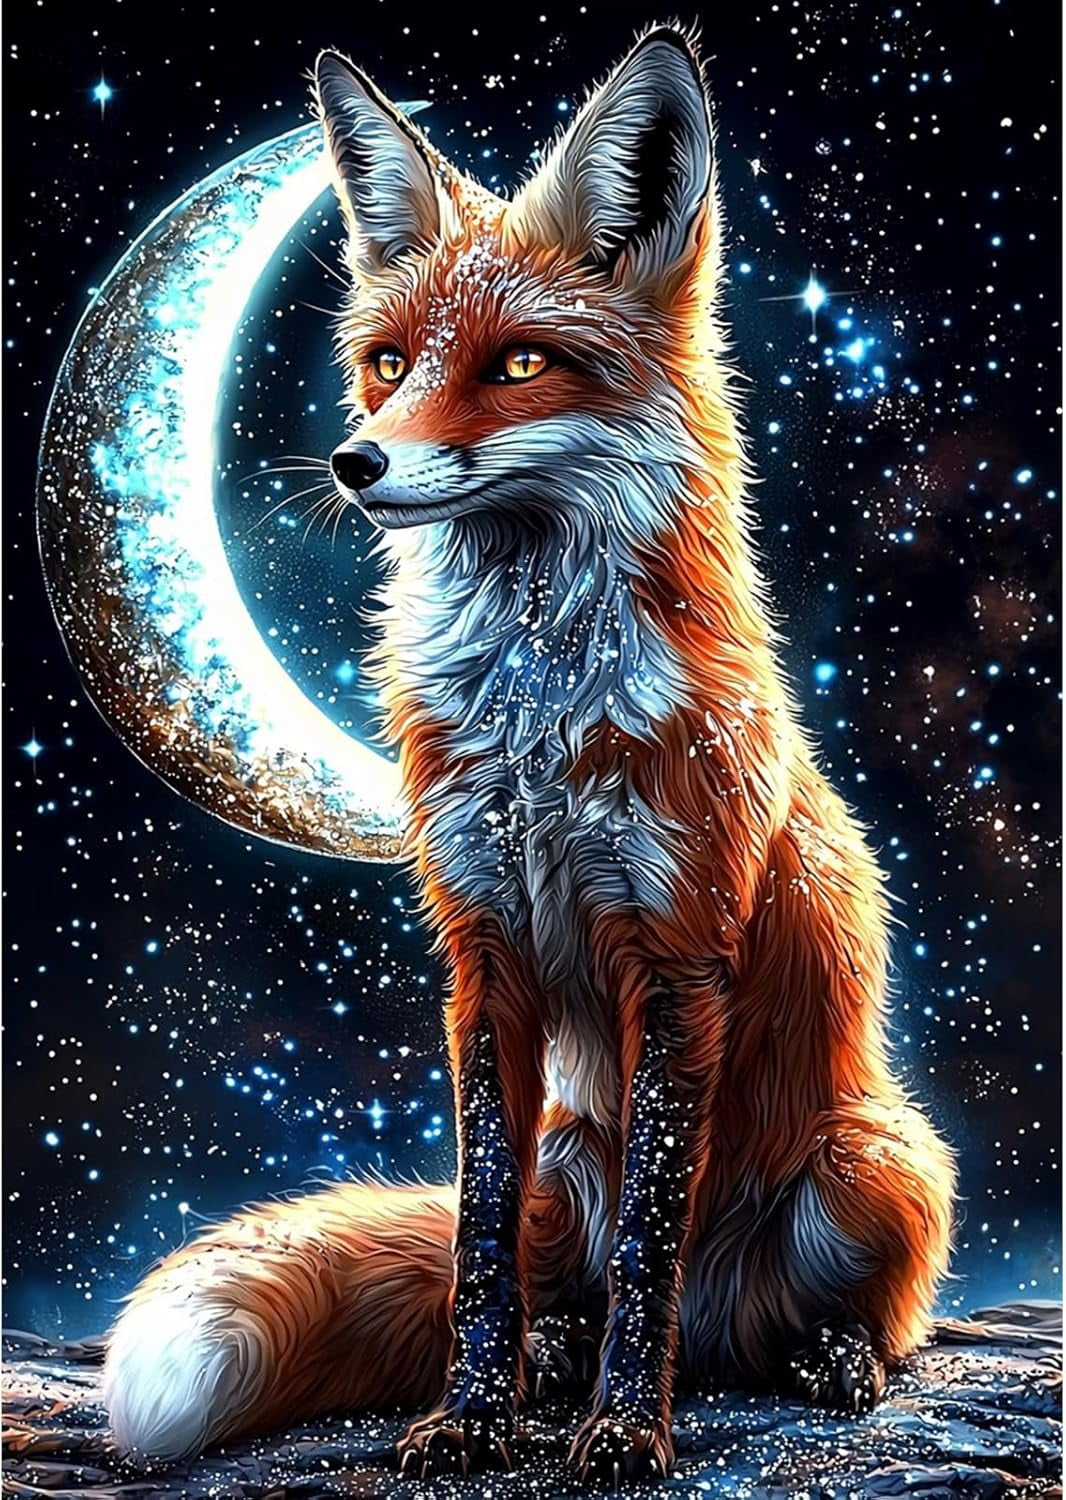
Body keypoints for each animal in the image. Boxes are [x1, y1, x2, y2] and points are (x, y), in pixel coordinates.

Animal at [102, 26, 955, 1486]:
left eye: (515, 366)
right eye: (389, 361)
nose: (356, 461)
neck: (532, 730)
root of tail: (726, 1328)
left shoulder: (678, 959)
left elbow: (654, 1239)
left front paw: (622, 1431)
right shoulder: (481, 956)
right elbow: (476, 1239)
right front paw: (476, 1412)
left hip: (871, 1164)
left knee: (815, 1314)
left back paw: (819, 1358)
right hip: (572, 1159)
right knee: (565, 1274)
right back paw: (559, 1354)